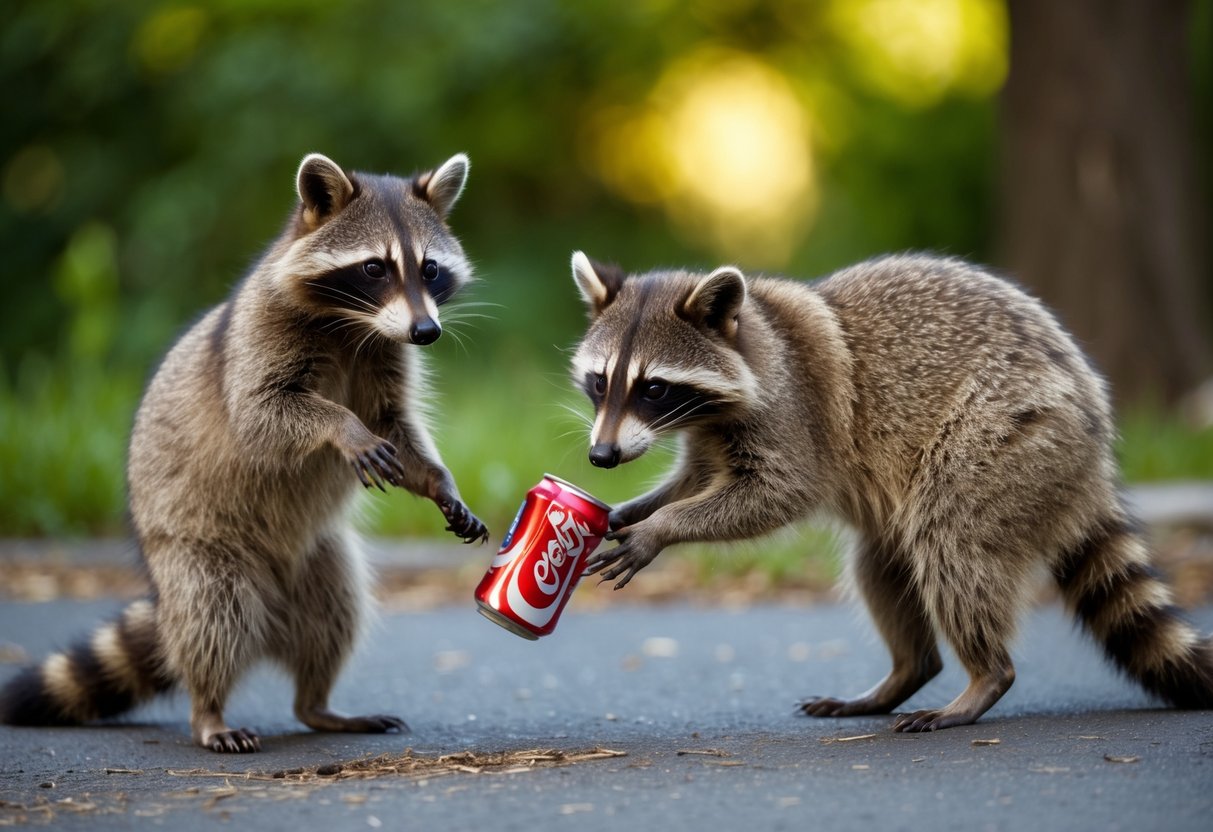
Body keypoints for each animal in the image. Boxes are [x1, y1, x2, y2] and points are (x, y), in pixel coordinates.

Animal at [0, 153, 488, 752]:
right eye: (375, 268)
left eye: (430, 268)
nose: (426, 331)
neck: (356, 325)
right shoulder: (260, 335)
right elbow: (262, 415)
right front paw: (342, 427)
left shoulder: (386, 357)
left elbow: (397, 426)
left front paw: (439, 481)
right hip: (194, 552)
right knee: (212, 619)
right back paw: (208, 708)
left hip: (320, 562)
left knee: (335, 616)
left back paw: (317, 704)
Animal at [569, 250, 1213, 731]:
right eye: (600, 382)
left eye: (653, 387)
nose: (601, 457)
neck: (752, 336)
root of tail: (1095, 443)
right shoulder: (706, 433)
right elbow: (697, 479)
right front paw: (632, 510)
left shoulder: (793, 412)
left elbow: (778, 495)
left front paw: (661, 529)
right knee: (880, 568)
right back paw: (907, 671)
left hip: (1010, 435)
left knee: (951, 546)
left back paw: (985, 676)